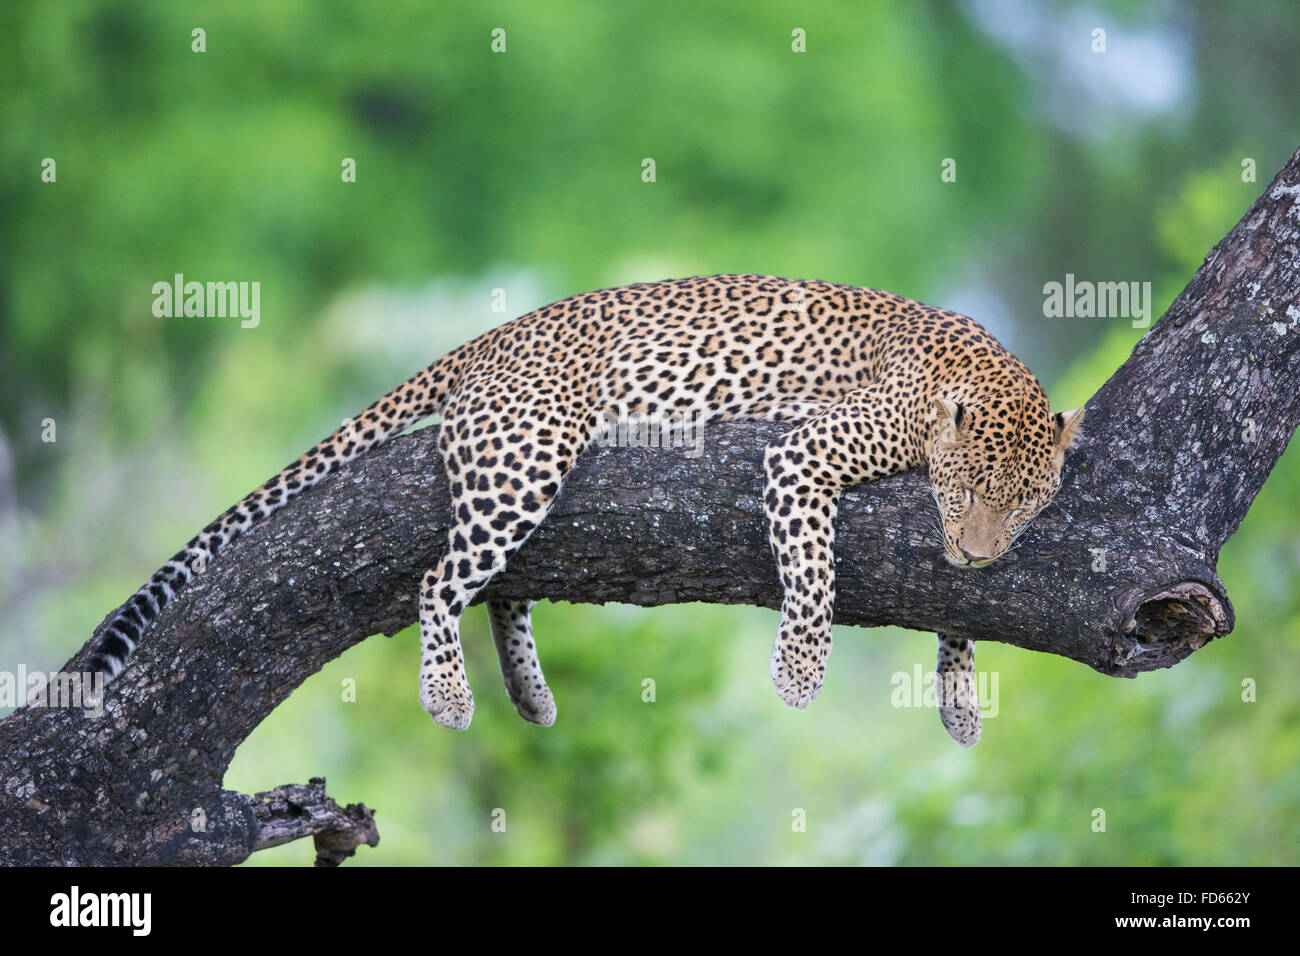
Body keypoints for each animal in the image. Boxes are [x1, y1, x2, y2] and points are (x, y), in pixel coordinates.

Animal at [86, 274, 1084, 747]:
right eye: (968, 491)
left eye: (1025, 509)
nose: (982, 553)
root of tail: (499, 332)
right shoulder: (803, 456)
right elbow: (813, 571)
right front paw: (801, 673)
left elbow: (951, 612)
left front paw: (959, 702)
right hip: (526, 457)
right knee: (439, 580)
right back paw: (449, 694)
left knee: (497, 585)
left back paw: (527, 694)